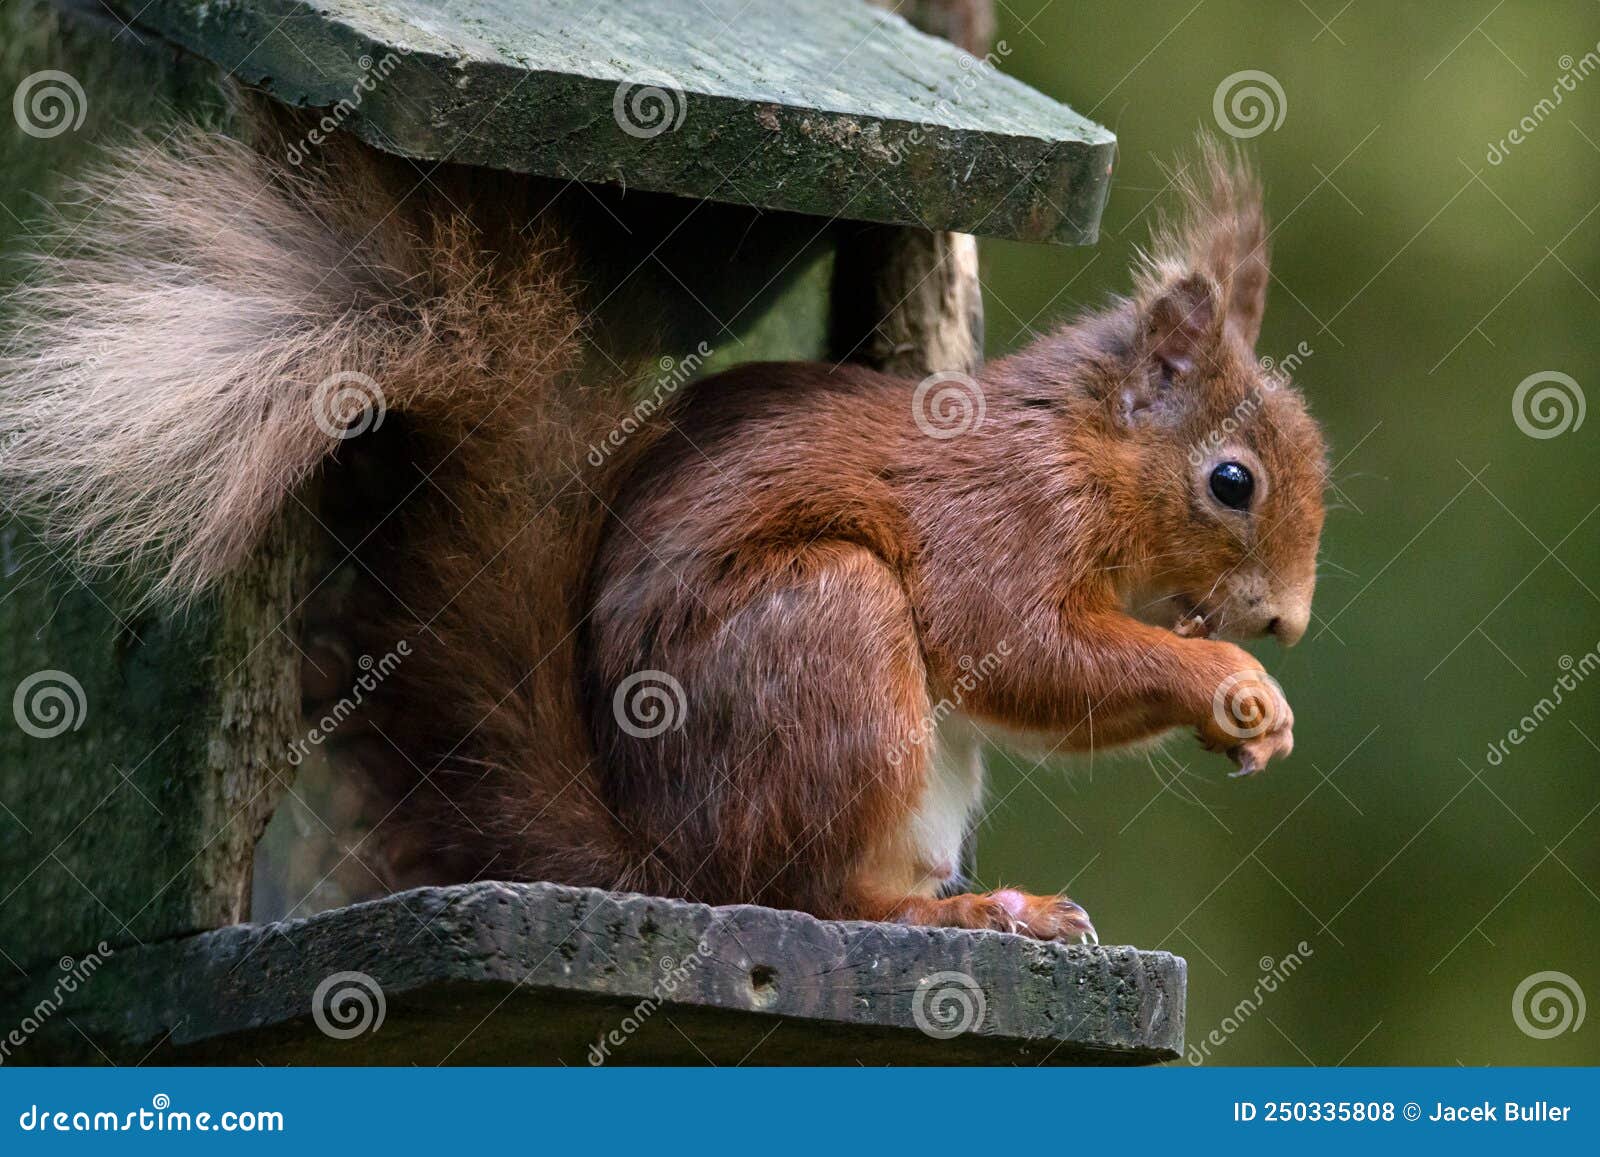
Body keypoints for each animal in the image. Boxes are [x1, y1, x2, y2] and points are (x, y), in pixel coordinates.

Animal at [0, 117, 1325, 943]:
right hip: (829, 631)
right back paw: (970, 913)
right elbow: (1023, 649)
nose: (1287, 622)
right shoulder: (998, 516)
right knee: (813, 899)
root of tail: (664, 868)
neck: (1085, 448)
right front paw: (1231, 686)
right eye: (1231, 481)